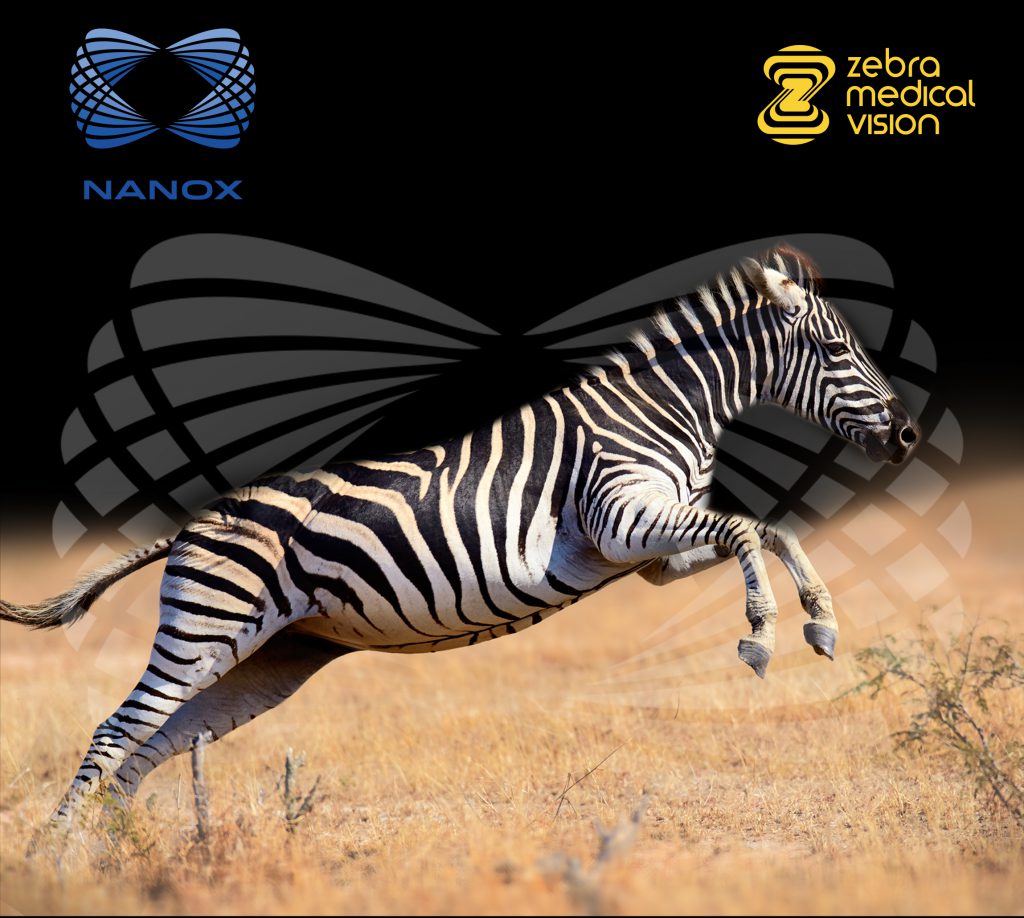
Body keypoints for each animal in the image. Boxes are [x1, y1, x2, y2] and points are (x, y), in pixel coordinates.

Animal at [1, 245, 919, 824]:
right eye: (837, 349)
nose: (909, 437)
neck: (665, 413)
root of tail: (191, 526)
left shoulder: (646, 555)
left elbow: (765, 529)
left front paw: (818, 622)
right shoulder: (621, 517)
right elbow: (751, 527)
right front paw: (767, 634)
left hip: (265, 658)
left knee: (150, 748)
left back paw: (124, 860)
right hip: (205, 627)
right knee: (115, 734)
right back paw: (63, 860)